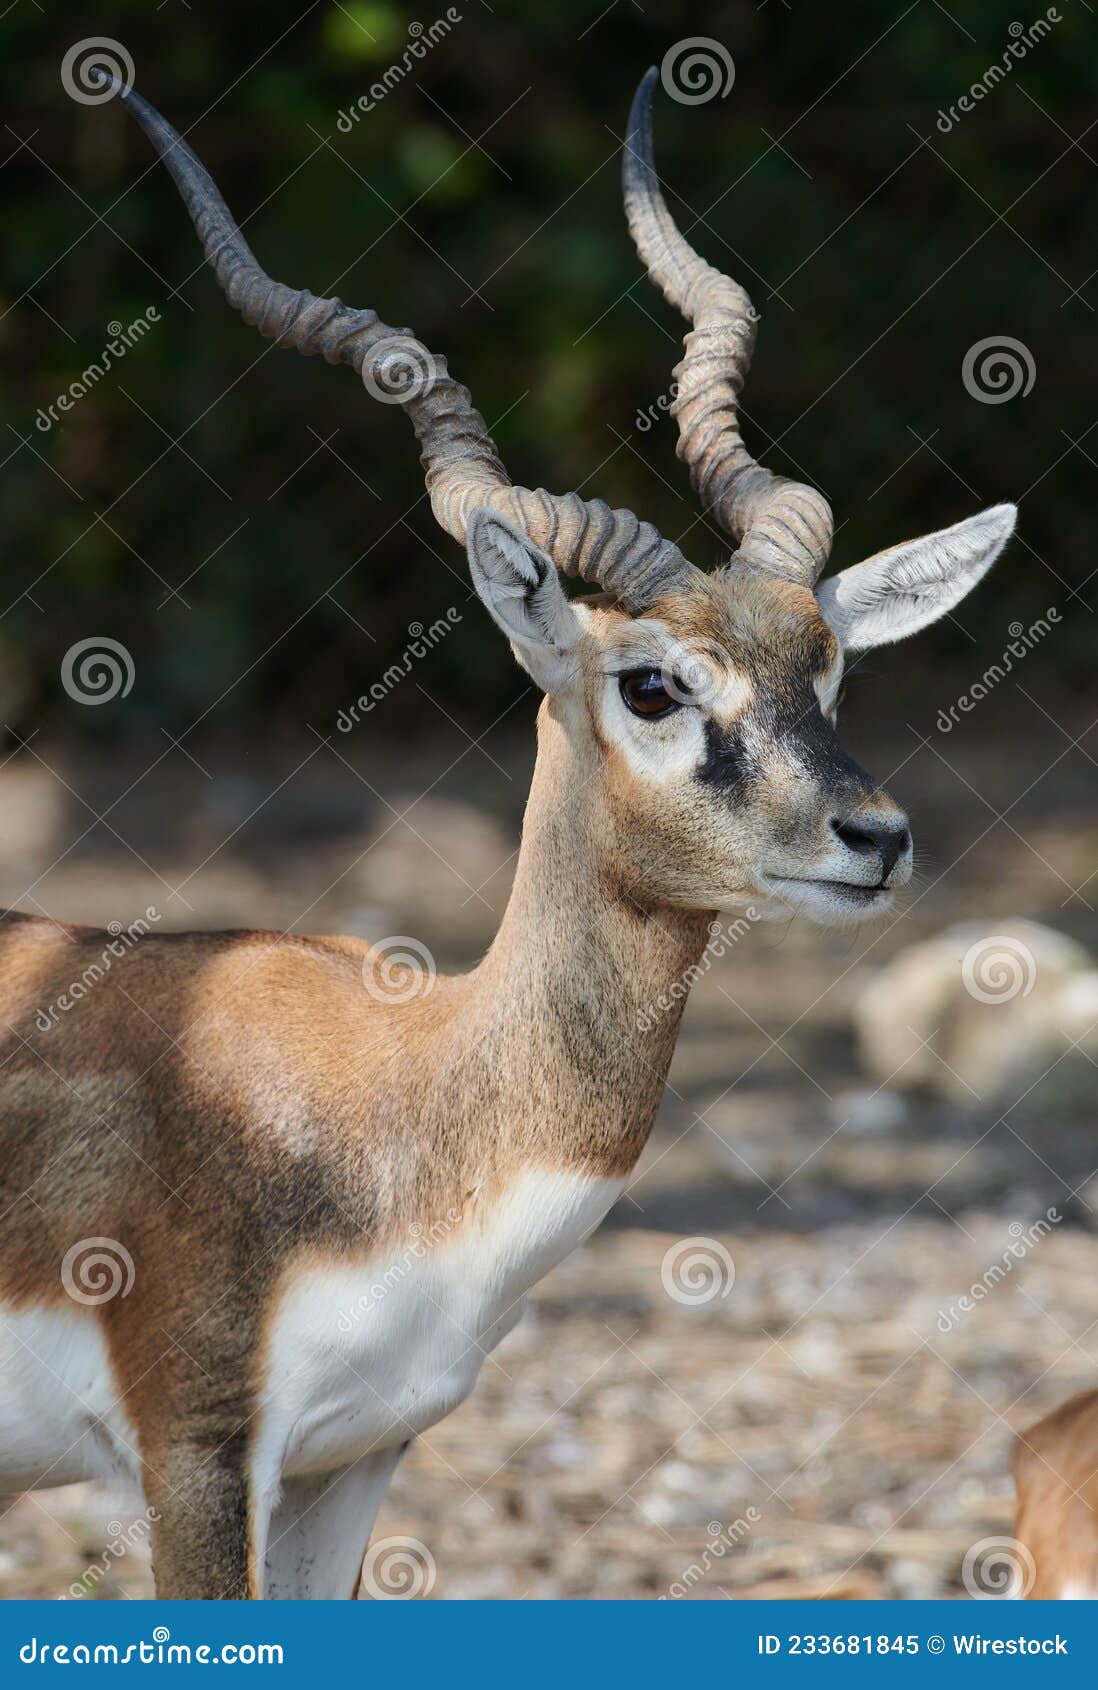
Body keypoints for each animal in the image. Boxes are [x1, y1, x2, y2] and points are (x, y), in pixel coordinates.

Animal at [0, 66, 1015, 1600]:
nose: (874, 836)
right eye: (650, 683)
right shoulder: (194, 1450)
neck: (403, 1098)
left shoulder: (356, 1456)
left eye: (824, 660)